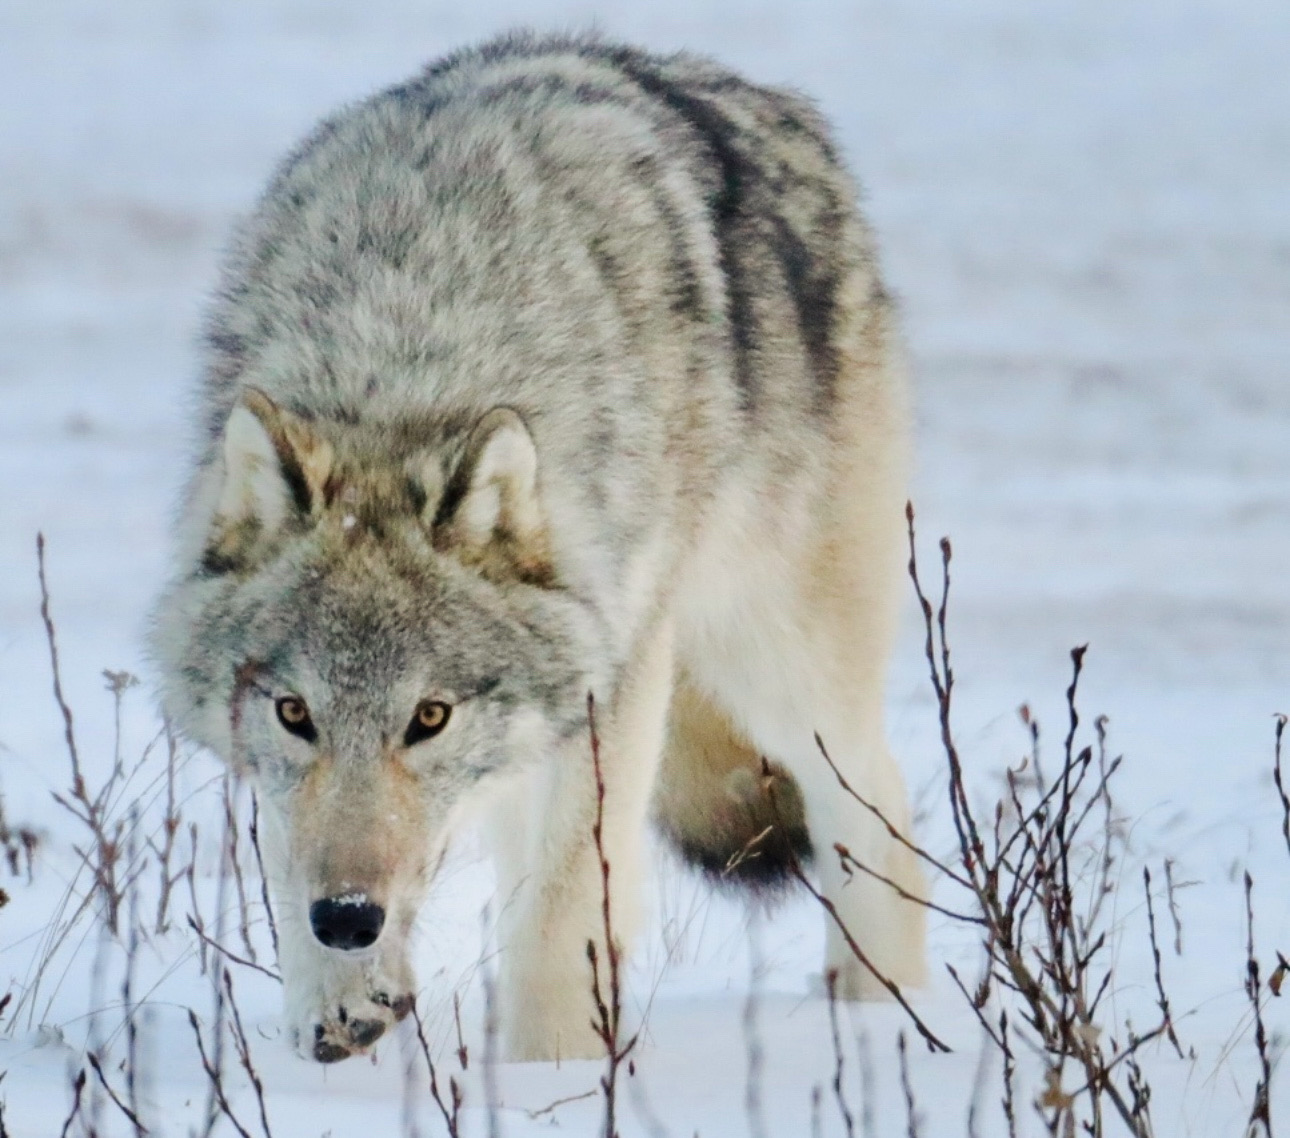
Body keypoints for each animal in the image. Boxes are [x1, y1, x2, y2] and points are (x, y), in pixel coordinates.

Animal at [150, 31, 927, 1064]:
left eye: (428, 717)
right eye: (293, 713)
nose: (349, 918)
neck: (408, 350)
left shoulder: (617, 684)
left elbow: (564, 913)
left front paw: (549, 1079)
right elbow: (288, 855)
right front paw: (339, 993)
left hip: (777, 665)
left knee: (877, 799)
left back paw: (880, 1018)